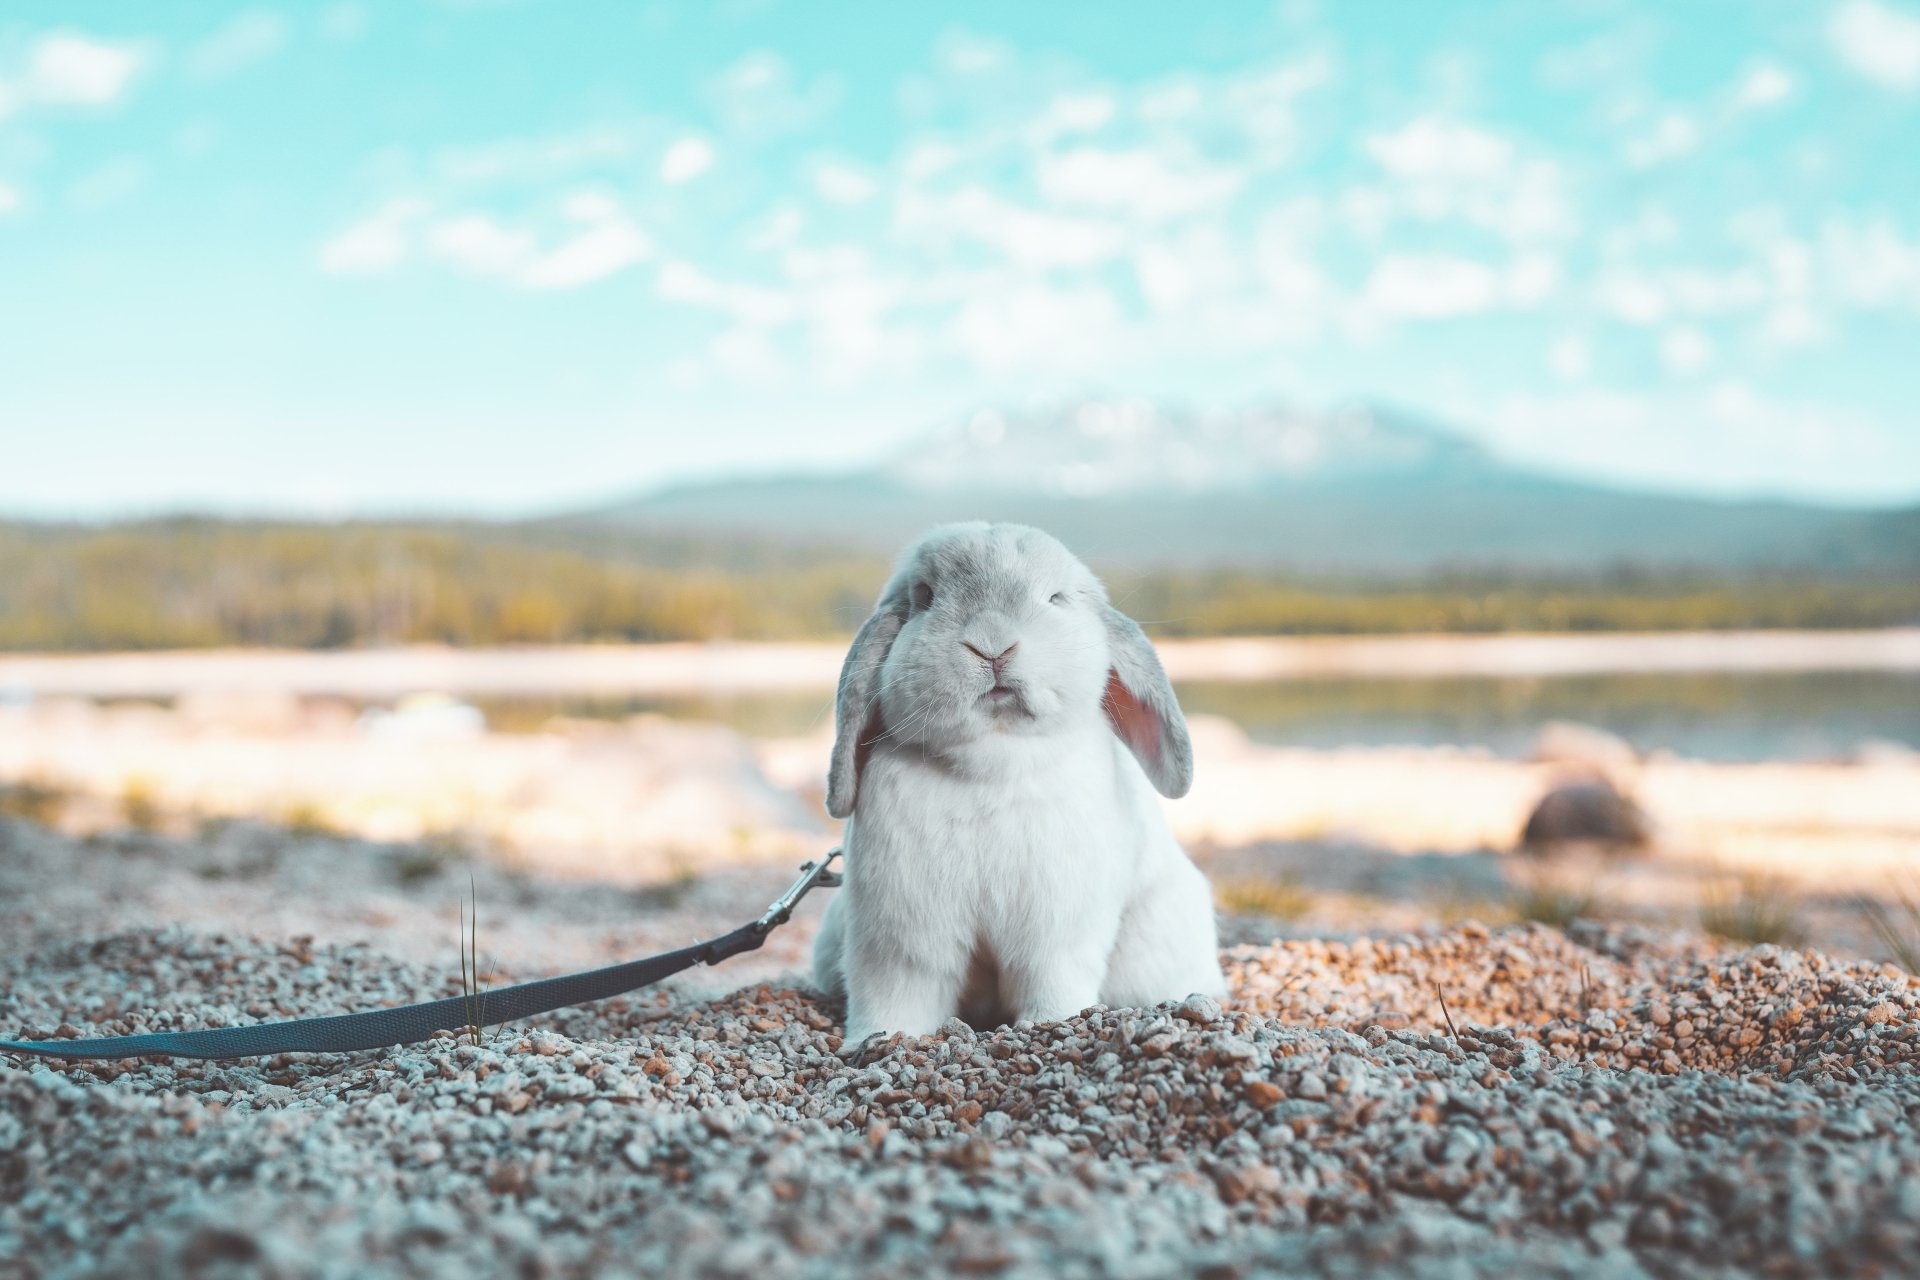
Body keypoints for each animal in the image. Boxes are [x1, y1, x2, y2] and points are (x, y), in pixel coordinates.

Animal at [812, 521, 1227, 1044]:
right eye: (924, 596)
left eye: (1055, 598)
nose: (993, 645)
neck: (991, 763)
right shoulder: (902, 939)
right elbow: (896, 994)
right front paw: (879, 1038)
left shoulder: (1056, 932)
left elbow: (1050, 980)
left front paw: (1052, 1022)